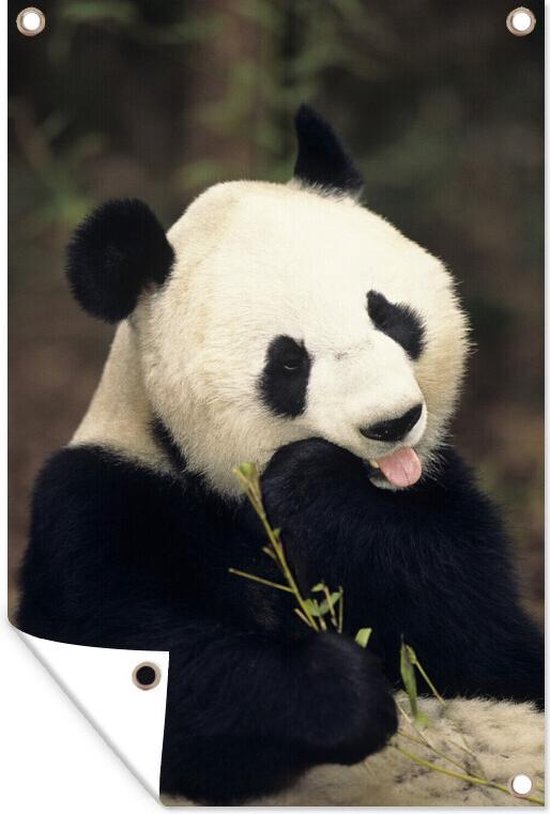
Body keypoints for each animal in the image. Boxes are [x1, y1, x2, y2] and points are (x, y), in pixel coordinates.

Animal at [17, 105, 543, 805]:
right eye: (289, 362)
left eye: (388, 315)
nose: (393, 422)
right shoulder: (101, 500)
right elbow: (139, 662)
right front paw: (340, 690)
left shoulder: (440, 492)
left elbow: (485, 642)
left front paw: (315, 487)